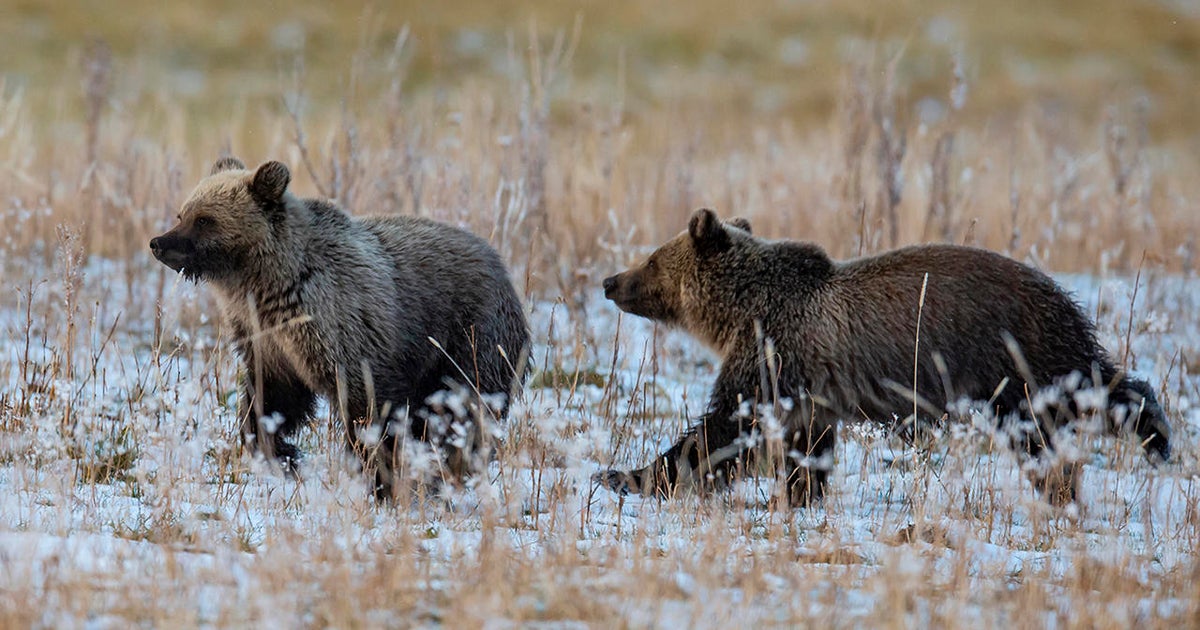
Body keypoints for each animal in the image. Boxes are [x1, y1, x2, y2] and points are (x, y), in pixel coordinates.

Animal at [150, 157, 530, 500]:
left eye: (204, 219)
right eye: (183, 214)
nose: (159, 243)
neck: (264, 282)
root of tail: (501, 265)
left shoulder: (343, 327)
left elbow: (368, 408)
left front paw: (382, 476)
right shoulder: (268, 340)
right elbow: (270, 400)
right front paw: (283, 453)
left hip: (469, 338)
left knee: (468, 408)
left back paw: (450, 470)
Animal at [595, 208, 1170, 506]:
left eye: (651, 258)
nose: (610, 281)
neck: (742, 310)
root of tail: (1061, 292)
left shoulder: (775, 353)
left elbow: (727, 429)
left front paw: (627, 475)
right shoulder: (811, 386)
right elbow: (803, 447)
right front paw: (801, 494)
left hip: (1016, 357)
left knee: (1075, 402)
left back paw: (1147, 439)